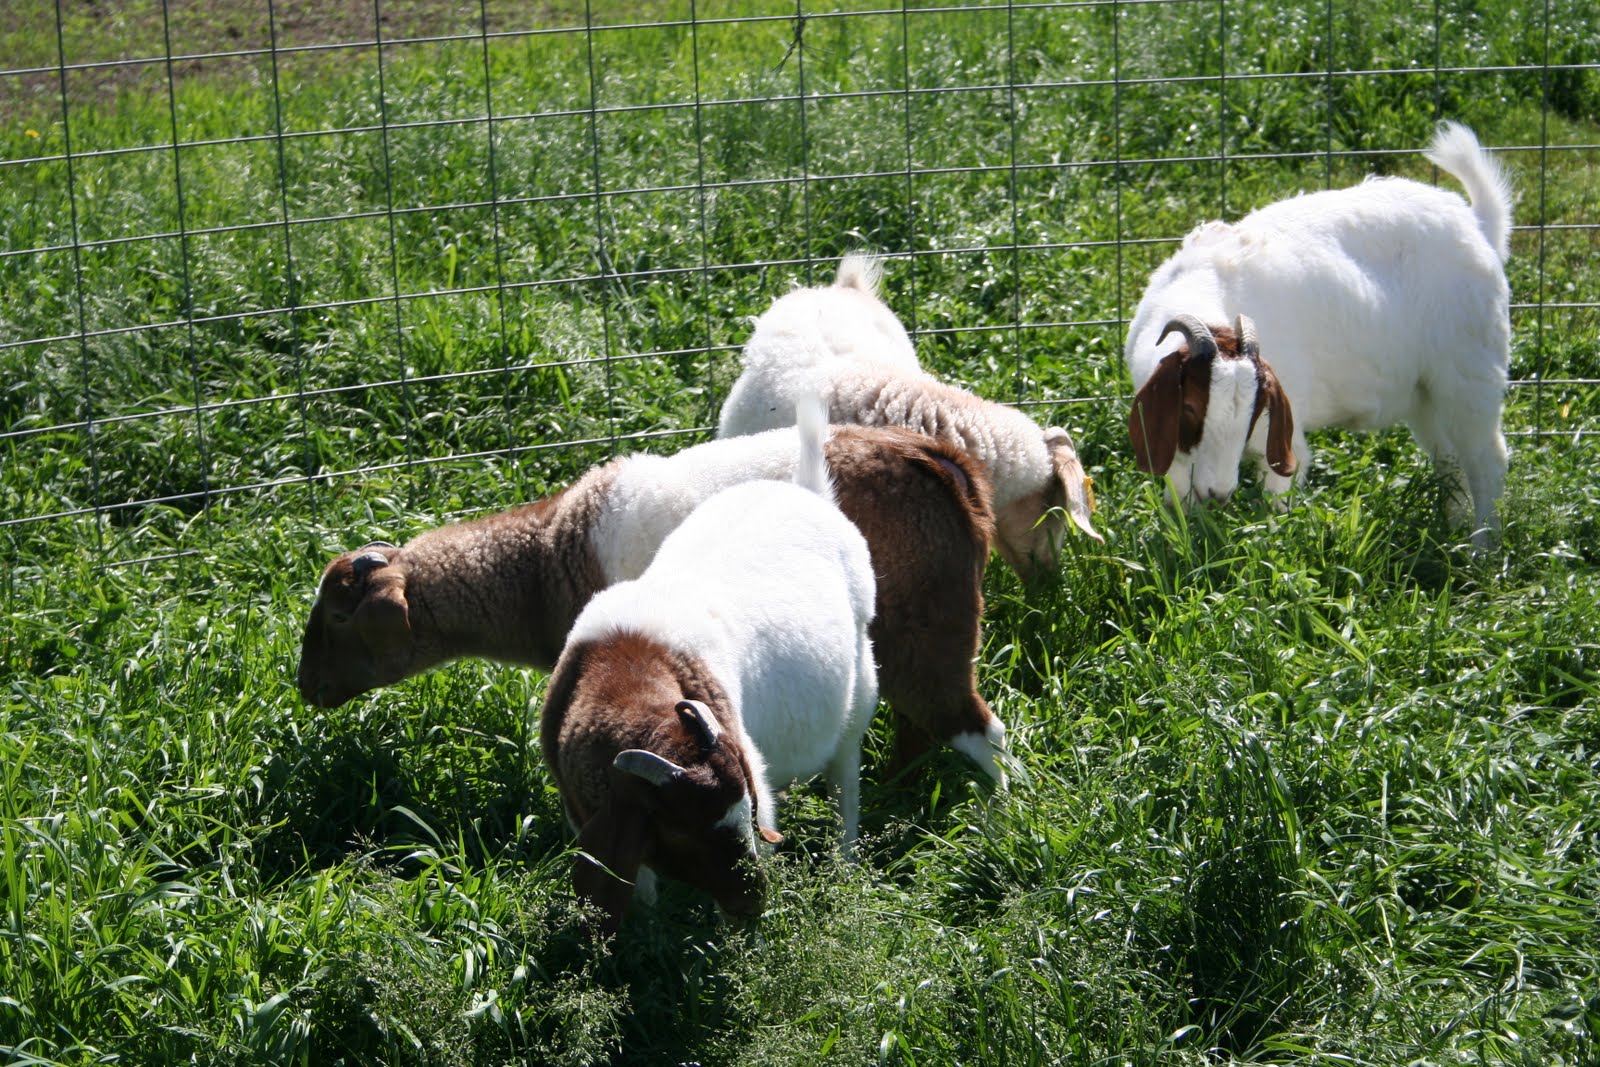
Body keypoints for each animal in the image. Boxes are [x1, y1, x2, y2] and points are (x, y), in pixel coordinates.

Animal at [539, 398, 877, 934]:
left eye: (746, 811)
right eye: (680, 831)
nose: (753, 901)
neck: (629, 665)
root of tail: (807, 491)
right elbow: (642, 889)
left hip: (860, 693)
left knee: (845, 780)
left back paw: (844, 866)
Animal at [1125, 121, 1512, 545]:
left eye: (1256, 408)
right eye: (1192, 406)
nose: (1220, 492)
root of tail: (1477, 226)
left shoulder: (1282, 440)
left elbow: (1277, 504)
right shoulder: (1175, 453)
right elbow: (1180, 507)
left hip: (1471, 373)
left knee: (1487, 459)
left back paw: (1481, 548)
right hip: (1426, 394)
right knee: (1450, 460)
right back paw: (1455, 530)